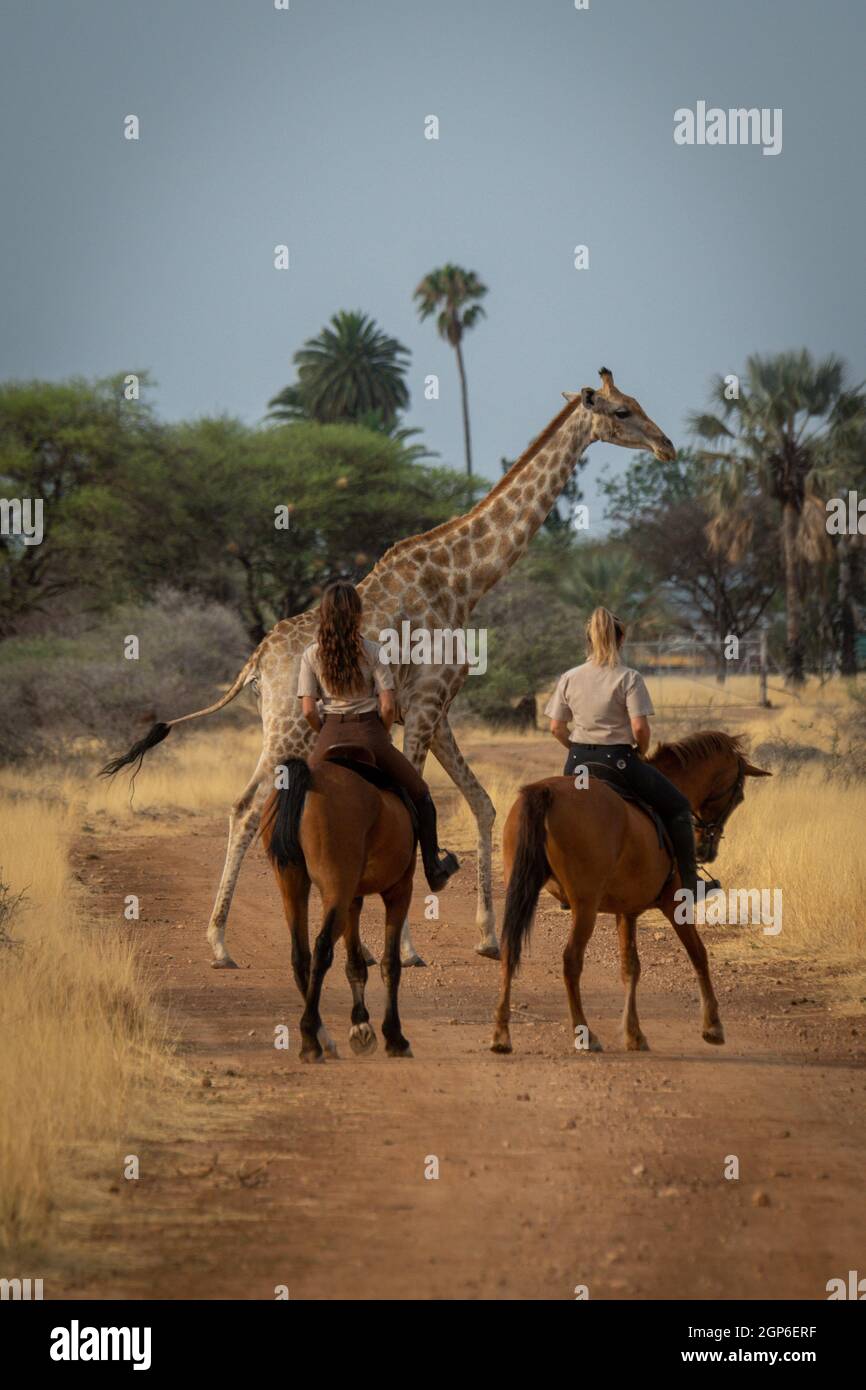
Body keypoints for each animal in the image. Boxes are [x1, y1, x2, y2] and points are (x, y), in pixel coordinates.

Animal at [103, 368, 675, 969]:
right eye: (622, 411)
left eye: (636, 403)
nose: (667, 446)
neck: (466, 580)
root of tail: (257, 660)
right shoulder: (424, 705)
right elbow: (415, 799)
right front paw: (405, 947)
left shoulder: (437, 710)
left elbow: (482, 804)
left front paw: (486, 937)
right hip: (287, 727)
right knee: (247, 808)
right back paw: (219, 943)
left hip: (281, 730)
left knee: (251, 807)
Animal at [261, 753, 417, 1063]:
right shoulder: (399, 891)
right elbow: (390, 964)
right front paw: (394, 1037)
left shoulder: (353, 899)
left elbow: (355, 963)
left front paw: (361, 1026)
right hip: (337, 888)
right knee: (322, 948)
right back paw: (311, 1040)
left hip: (294, 883)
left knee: (301, 955)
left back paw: (321, 1039)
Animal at [491, 732, 771, 1055]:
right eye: (738, 797)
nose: (705, 849)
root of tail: (545, 790)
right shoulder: (675, 905)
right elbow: (698, 954)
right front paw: (712, 1026)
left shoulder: (627, 911)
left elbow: (630, 968)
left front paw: (634, 1034)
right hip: (585, 907)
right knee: (571, 961)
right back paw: (584, 1033)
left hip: (520, 889)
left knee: (509, 948)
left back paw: (501, 1034)